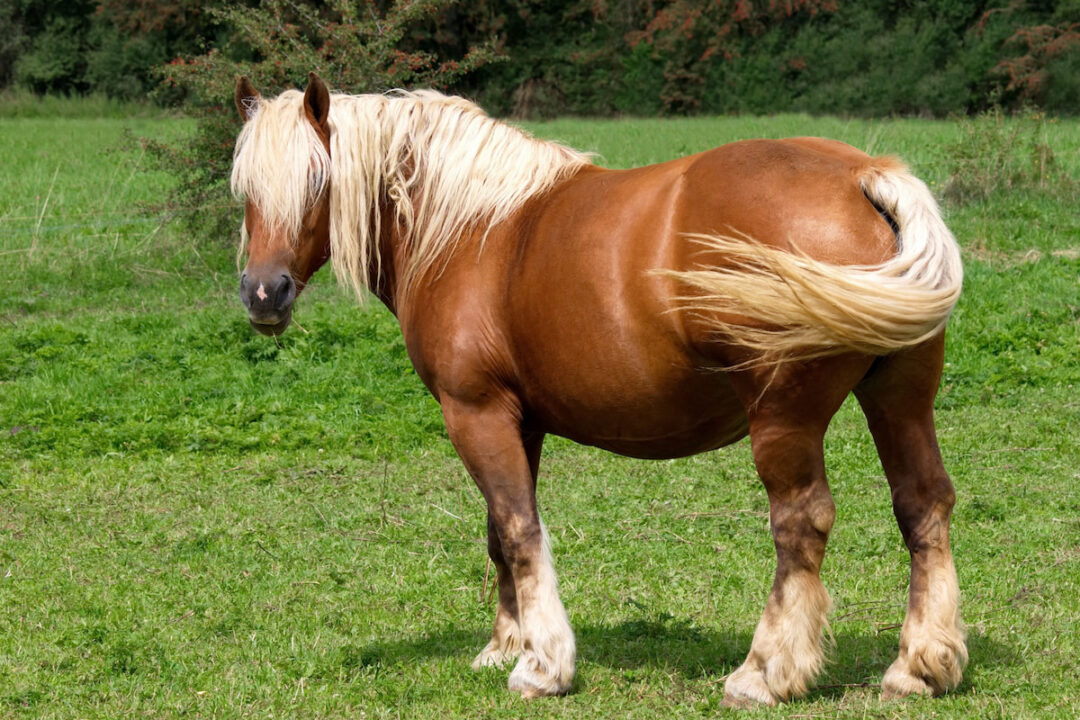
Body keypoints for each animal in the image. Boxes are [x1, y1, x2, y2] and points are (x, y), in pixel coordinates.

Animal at [230, 73, 967, 706]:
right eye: (245, 191)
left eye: (317, 178)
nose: (263, 294)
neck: (471, 228)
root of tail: (860, 175)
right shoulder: (518, 421)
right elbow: (499, 530)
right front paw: (506, 646)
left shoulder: (475, 413)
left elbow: (520, 531)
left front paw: (543, 666)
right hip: (900, 399)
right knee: (922, 504)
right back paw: (919, 666)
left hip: (784, 419)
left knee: (801, 525)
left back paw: (763, 673)